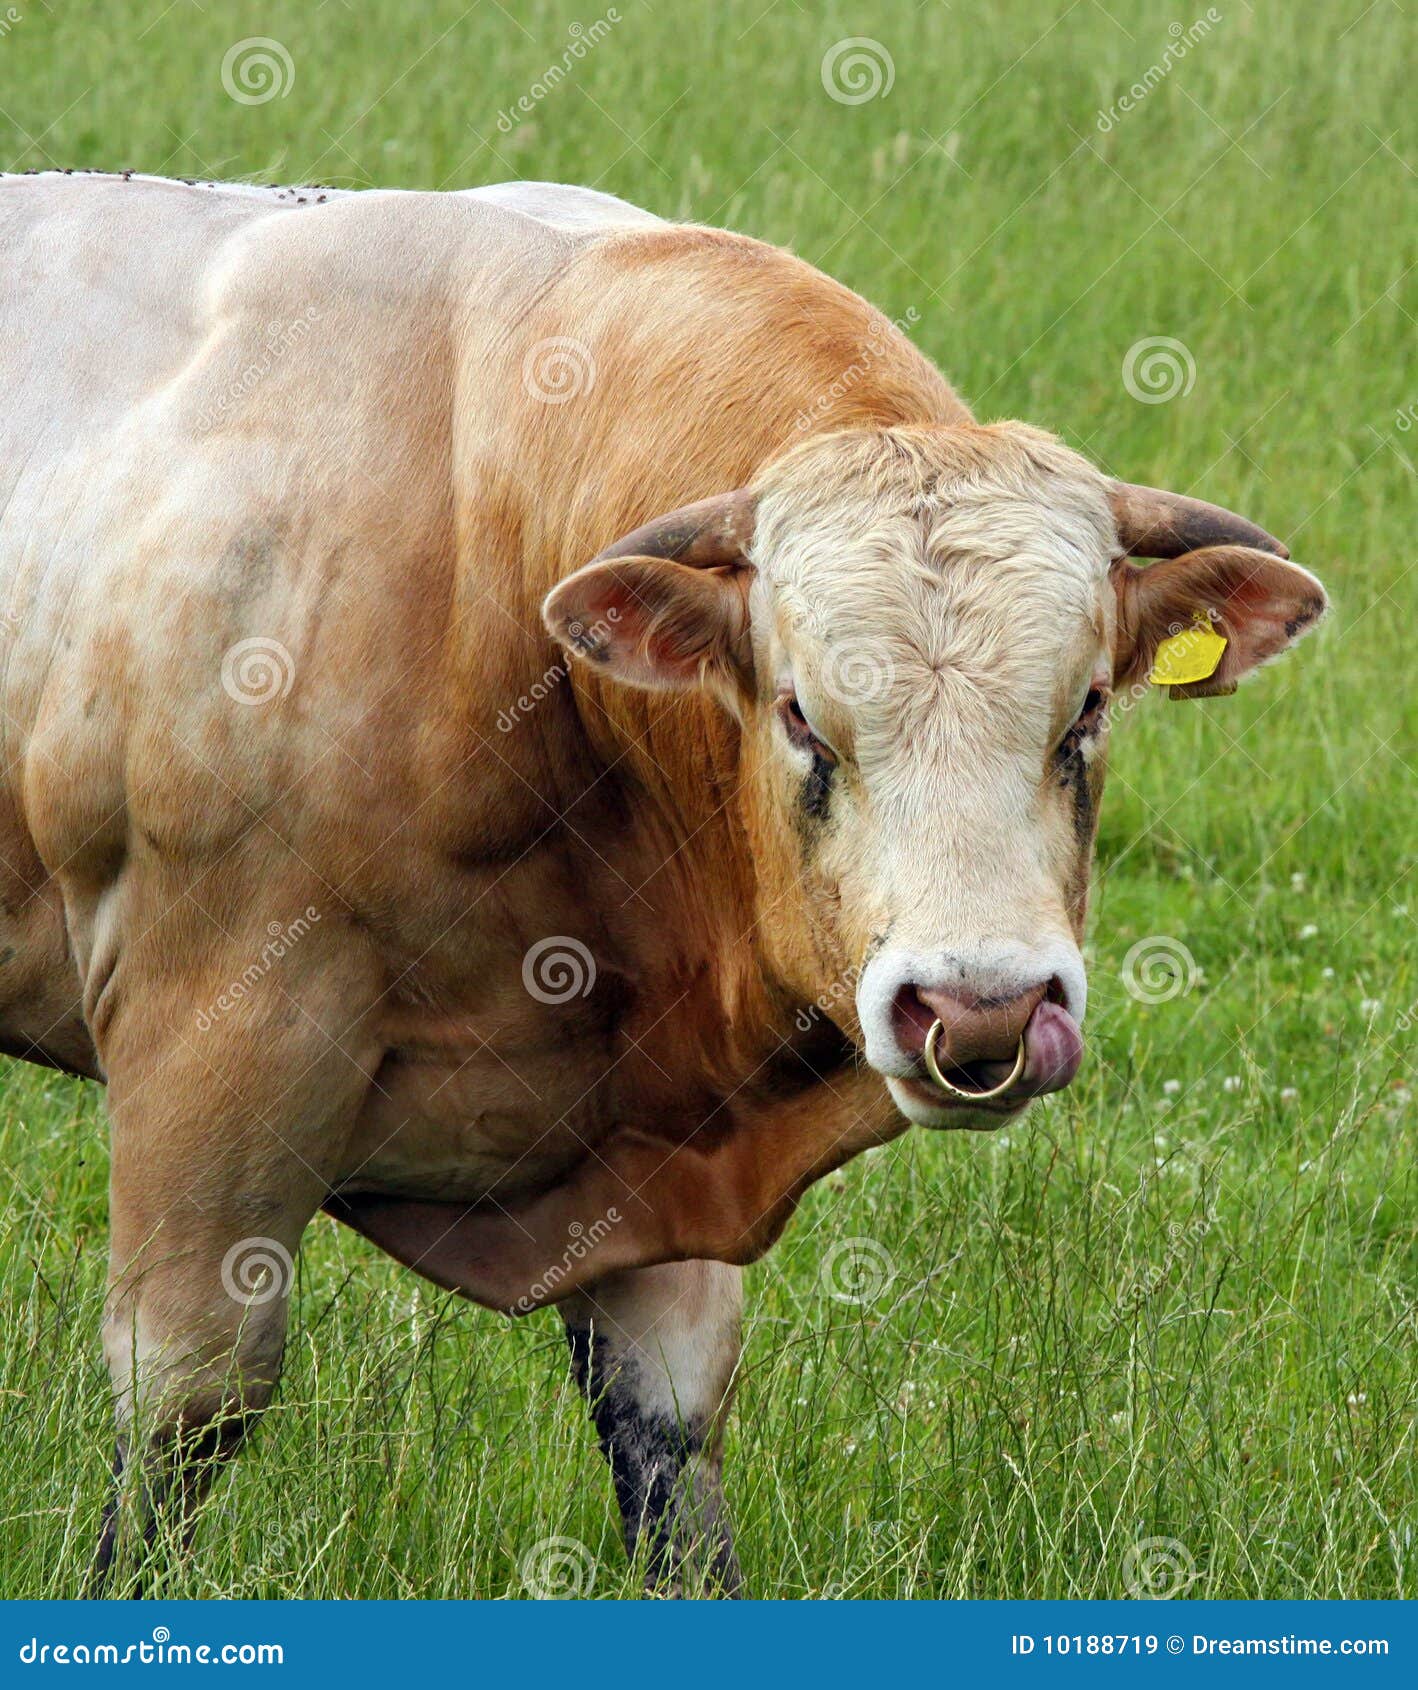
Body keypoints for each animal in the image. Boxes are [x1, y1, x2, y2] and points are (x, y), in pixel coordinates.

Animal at [0, 173, 1326, 1595]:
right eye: (800, 713)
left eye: (1083, 709)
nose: (982, 1009)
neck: (481, 548)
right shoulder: (214, 1040)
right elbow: (183, 1413)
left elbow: (669, 1449)